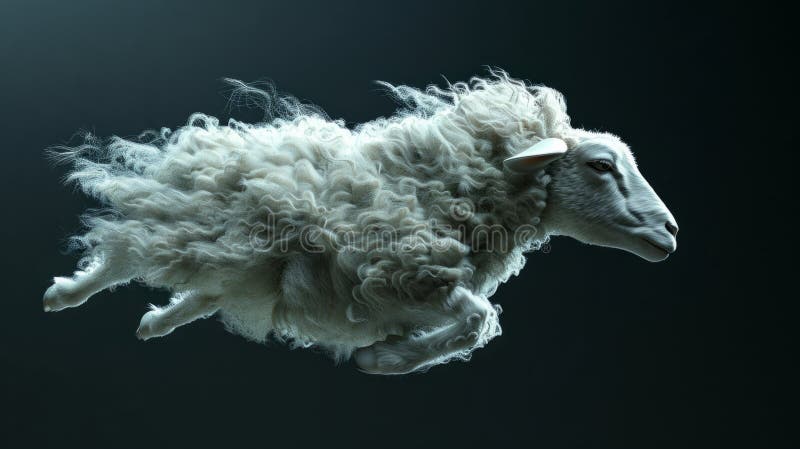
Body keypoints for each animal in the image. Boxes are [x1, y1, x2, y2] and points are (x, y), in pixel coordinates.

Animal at [43, 71, 678, 374]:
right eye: (601, 165)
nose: (671, 231)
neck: (445, 186)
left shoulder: (404, 288)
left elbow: (474, 319)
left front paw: (390, 354)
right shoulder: (402, 272)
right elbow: (477, 317)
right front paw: (383, 361)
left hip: (241, 260)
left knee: (204, 291)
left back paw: (155, 322)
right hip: (195, 226)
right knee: (125, 248)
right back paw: (67, 293)